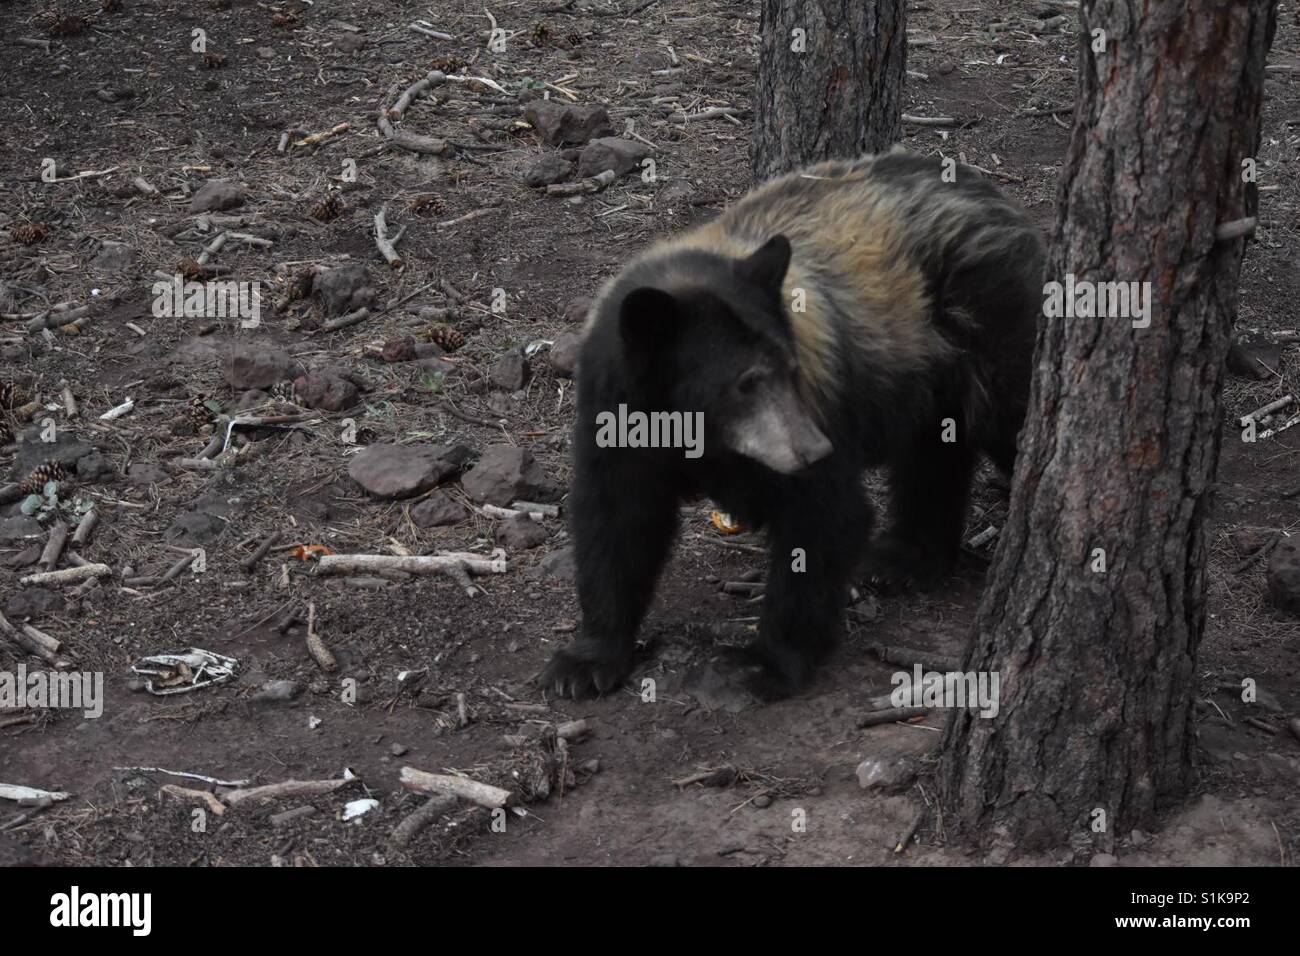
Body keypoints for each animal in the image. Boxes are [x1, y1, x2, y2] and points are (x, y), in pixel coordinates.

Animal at [542, 149, 1046, 701]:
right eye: (745, 381)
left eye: (790, 367)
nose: (814, 449)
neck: (695, 434)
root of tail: (1005, 203)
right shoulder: (615, 418)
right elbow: (616, 521)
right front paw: (587, 660)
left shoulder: (812, 410)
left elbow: (823, 516)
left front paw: (763, 663)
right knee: (932, 455)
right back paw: (905, 556)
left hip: (986, 328)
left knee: (1009, 419)